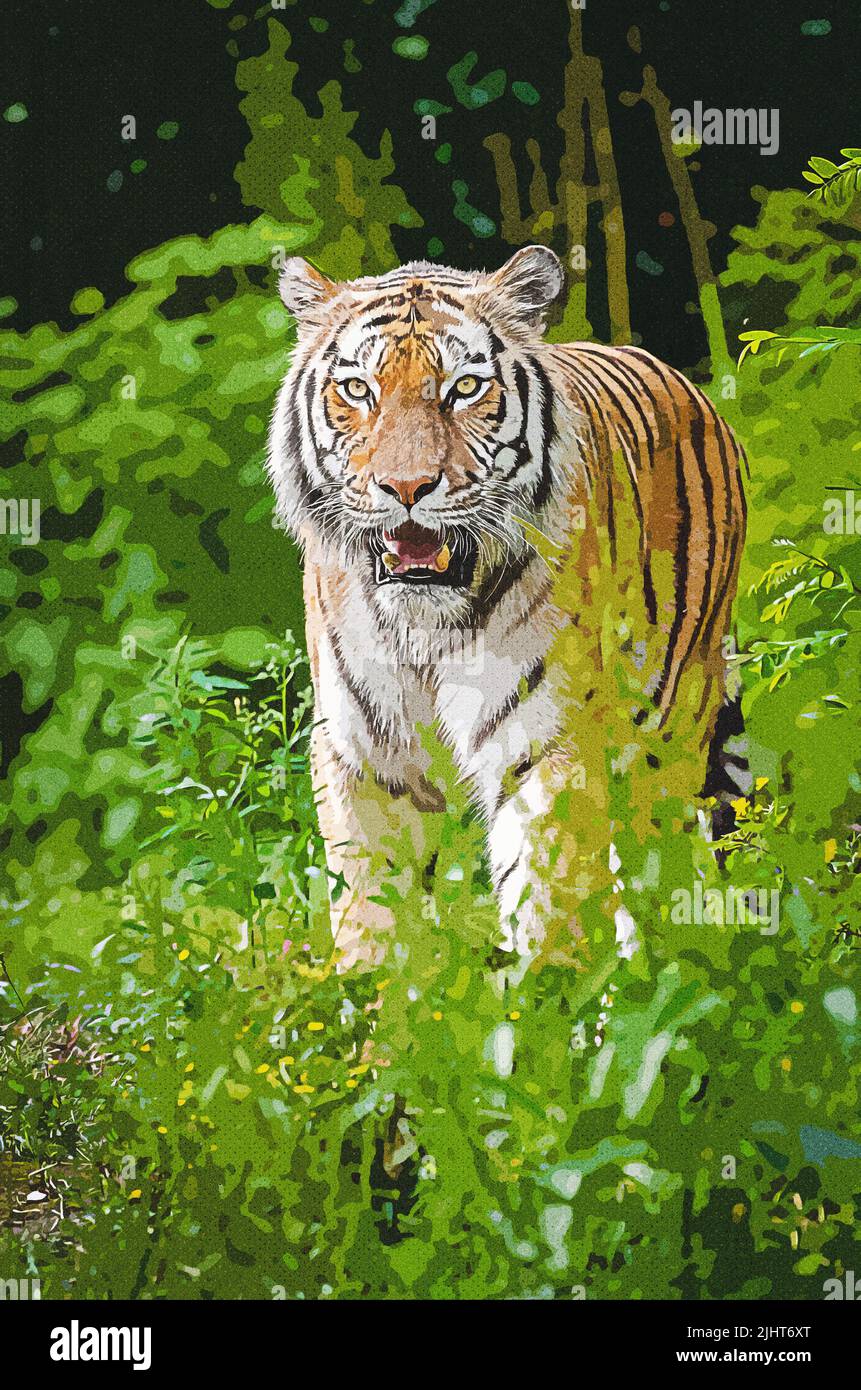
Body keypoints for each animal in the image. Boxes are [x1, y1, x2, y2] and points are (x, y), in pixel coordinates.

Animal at [267, 245, 747, 969]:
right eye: (358, 391)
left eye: (463, 388)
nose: (405, 487)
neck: (422, 624)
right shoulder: (364, 758)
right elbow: (373, 924)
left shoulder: (541, 744)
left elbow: (549, 911)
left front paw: (547, 998)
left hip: (668, 737)